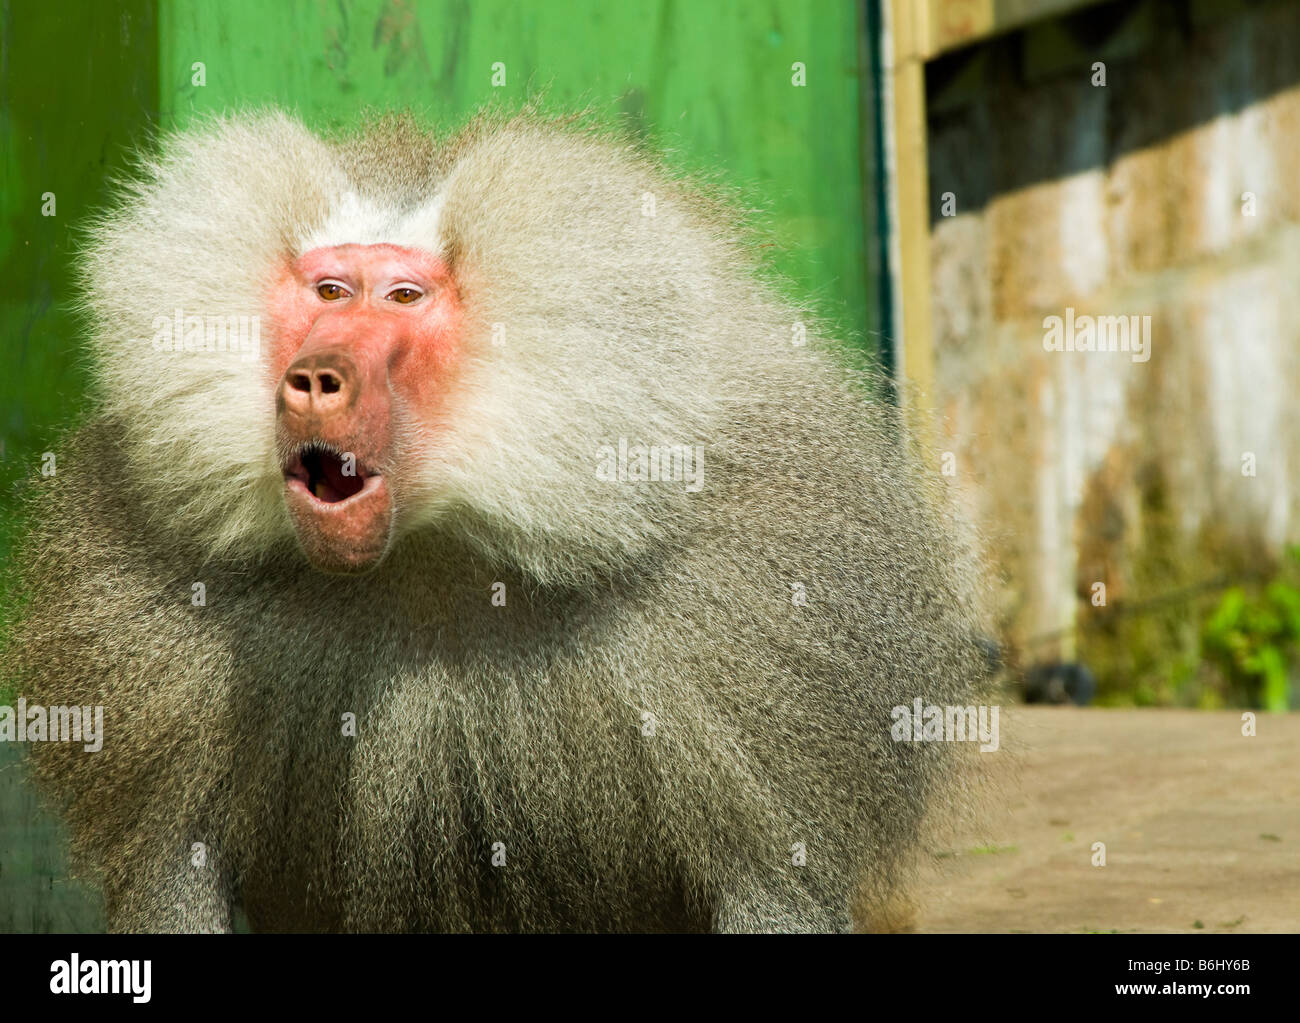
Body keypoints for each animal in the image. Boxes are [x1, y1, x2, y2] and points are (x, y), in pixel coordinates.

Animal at [4, 109, 989, 933]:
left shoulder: (746, 612)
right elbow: (178, 878)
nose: (314, 376)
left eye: (404, 298)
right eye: (330, 291)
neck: (431, 555)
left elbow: (770, 886)